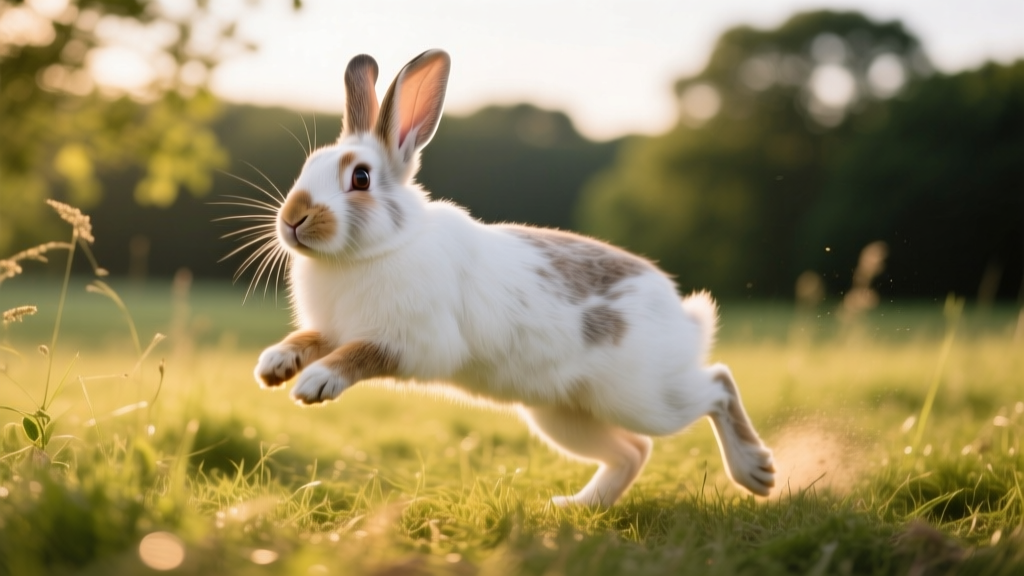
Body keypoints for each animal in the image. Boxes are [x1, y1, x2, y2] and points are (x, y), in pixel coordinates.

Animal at [252, 49, 775, 506]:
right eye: (308, 167)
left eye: (360, 178)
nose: (293, 219)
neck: (375, 249)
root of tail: (682, 318)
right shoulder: (335, 328)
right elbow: (311, 338)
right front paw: (274, 366)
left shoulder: (412, 341)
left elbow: (357, 355)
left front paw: (315, 384)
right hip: (562, 415)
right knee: (633, 451)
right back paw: (575, 507)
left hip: (645, 399)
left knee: (716, 386)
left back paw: (756, 472)